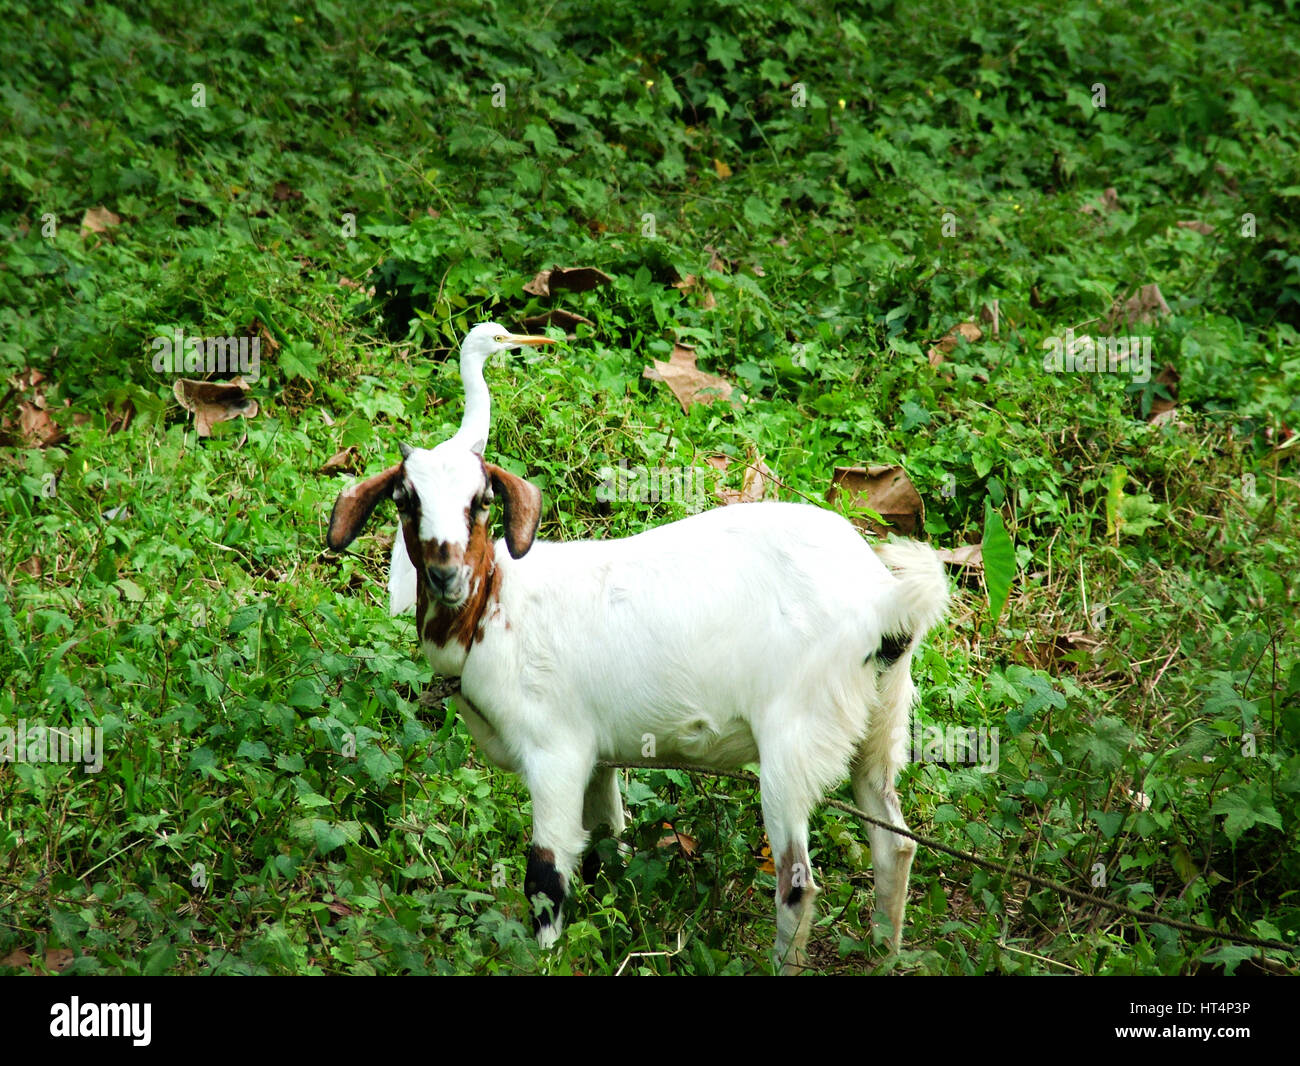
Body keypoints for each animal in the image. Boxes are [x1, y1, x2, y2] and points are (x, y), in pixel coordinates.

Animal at [327, 439, 949, 972]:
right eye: (405, 500)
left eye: (481, 502)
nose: (445, 574)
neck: (496, 607)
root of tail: (885, 602)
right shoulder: (597, 757)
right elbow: (605, 847)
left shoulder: (555, 752)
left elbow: (546, 874)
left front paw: (548, 958)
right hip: (881, 722)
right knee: (894, 843)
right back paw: (885, 954)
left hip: (794, 740)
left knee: (797, 883)